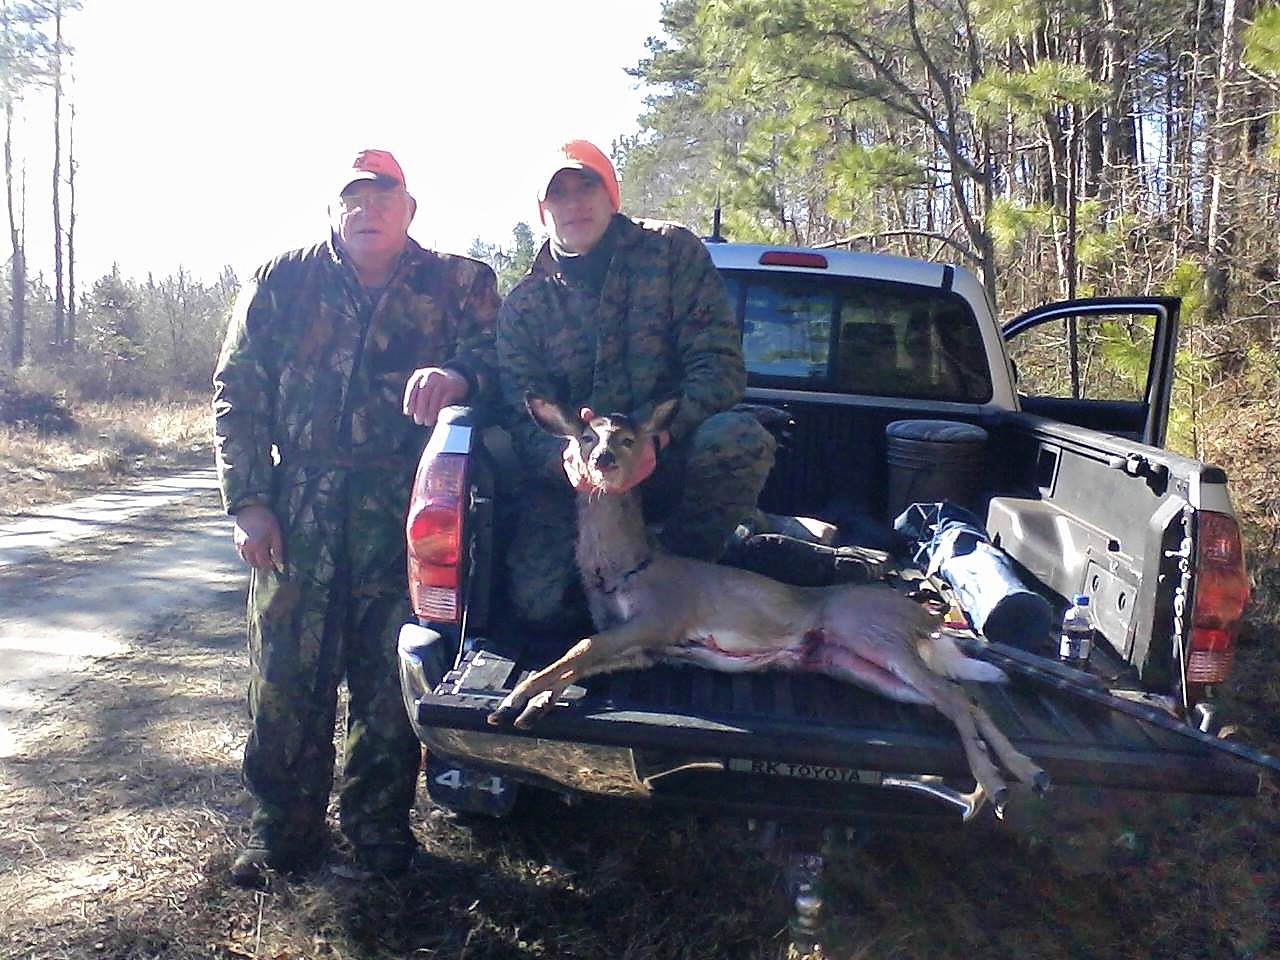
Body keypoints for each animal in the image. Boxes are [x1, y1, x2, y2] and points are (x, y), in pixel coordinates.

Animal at [487, 396, 1049, 814]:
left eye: (628, 439)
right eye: (586, 437)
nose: (603, 460)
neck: (629, 567)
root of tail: (922, 617)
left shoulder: (661, 617)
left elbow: (578, 647)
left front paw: (512, 699)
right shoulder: (647, 647)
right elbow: (583, 662)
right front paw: (532, 706)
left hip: (874, 634)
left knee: (953, 695)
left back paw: (1001, 783)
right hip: (856, 665)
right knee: (959, 697)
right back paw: (1021, 775)